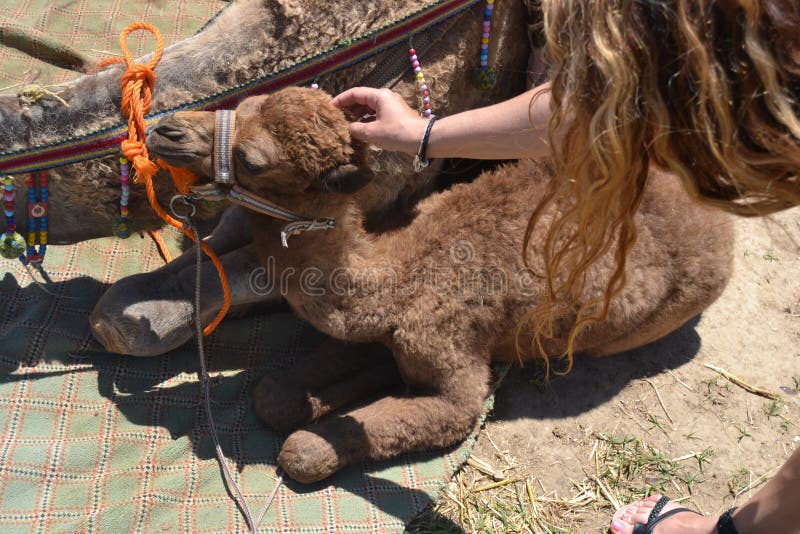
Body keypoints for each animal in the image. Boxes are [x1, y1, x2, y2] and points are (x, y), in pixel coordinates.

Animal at [145, 86, 734, 483]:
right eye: (245, 105)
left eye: (252, 161)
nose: (163, 130)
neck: (398, 277)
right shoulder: (385, 335)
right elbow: (274, 395)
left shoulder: (453, 366)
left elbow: (309, 447)